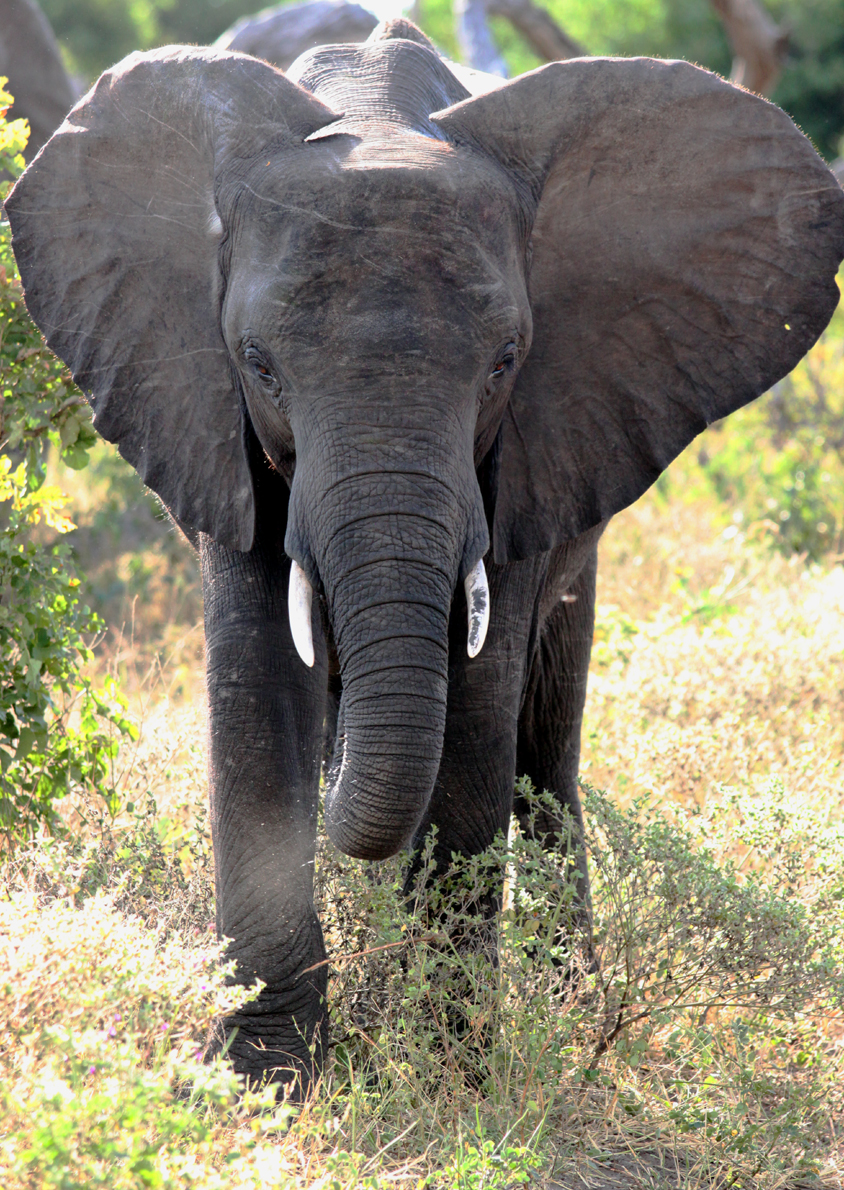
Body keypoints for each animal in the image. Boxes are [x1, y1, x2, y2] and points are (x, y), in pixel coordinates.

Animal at [8, 18, 844, 1092]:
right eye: (258, 364)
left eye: (505, 362)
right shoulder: (209, 427)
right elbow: (256, 689)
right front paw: (265, 1077)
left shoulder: (534, 446)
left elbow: (476, 717)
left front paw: (454, 1071)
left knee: (546, 745)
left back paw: (567, 1005)